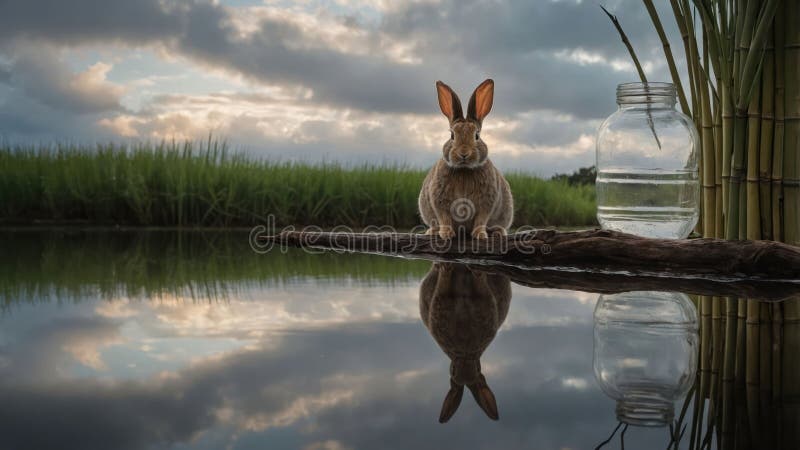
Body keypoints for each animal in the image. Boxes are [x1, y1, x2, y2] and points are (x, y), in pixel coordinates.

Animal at [418, 79, 514, 240]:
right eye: (452, 135)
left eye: (477, 135)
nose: (464, 153)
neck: (464, 170)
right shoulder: (440, 200)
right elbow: (444, 218)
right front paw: (446, 234)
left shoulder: (486, 202)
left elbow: (481, 219)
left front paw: (480, 235)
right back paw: (433, 231)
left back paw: (497, 232)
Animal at [419, 262, 512, 423]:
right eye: (452, 371)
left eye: (478, 369)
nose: (463, 368)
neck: (464, 352)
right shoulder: (440, 304)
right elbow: (444, 283)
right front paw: (446, 267)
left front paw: (477, 272)